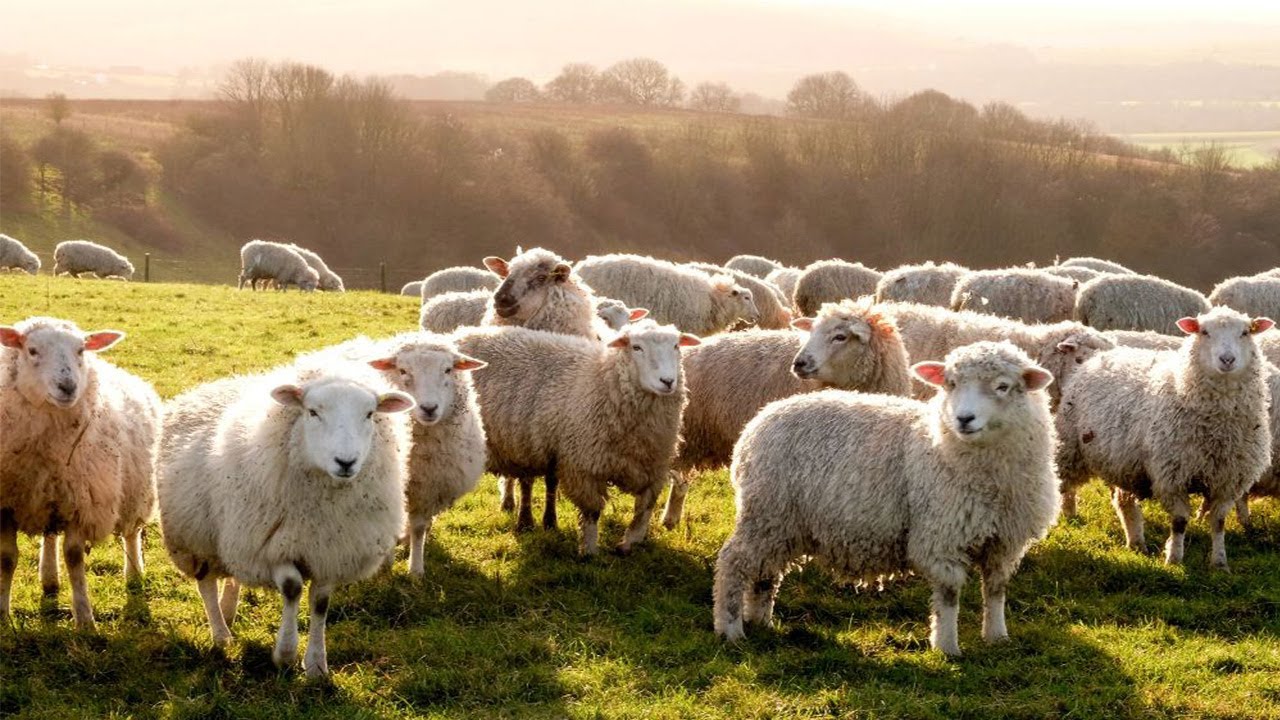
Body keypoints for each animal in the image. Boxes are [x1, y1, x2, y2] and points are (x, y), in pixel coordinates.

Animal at [0, 317, 161, 630]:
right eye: (32, 350)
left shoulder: (82, 503)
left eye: (81, 350)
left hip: (137, 490)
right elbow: (7, 559)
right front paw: (1, 614)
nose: (68, 386)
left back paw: (134, 574)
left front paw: (85, 619)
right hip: (51, 496)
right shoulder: (5, 506)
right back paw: (49, 580)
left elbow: (74, 557)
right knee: (50, 535)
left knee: (131, 533)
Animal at [156, 361, 413, 677]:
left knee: (232, 575)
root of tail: (207, 387)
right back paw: (221, 635)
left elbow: (320, 603)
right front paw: (285, 654)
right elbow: (292, 588)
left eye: (369, 413)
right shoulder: (273, 549)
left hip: (234, 537)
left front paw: (316, 665)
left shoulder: (330, 551)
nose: (346, 462)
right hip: (198, 539)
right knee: (206, 584)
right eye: (312, 412)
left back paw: (228, 611)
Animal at [455, 322, 700, 552]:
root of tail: (461, 334)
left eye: (676, 346)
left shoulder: (653, 466)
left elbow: (644, 510)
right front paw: (589, 550)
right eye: (636, 347)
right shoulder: (584, 465)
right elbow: (592, 512)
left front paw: (629, 544)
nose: (667, 381)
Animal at [714, 341, 1059, 656]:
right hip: (766, 511)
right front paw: (947, 648)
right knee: (733, 562)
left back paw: (761, 622)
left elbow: (996, 589)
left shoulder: (1005, 542)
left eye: (1003, 386)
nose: (964, 418)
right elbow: (949, 595)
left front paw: (998, 637)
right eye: (950, 384)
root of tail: (759, 421)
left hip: (783, 523)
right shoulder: (941, 536)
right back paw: (731, 629)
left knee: (765, 572)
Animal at [1055, 307, 1273, 569]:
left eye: (1245, 332)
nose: (1227, 360)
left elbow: (1218, 522)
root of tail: (1097, 358)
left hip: (1123, 462)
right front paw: (1174, 559)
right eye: (1204, 332)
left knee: (1124, 502)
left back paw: (1136, 543)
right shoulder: (1172, 475)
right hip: (1069, 448)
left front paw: (1220, 563)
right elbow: (1179, 521)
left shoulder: (1228, 479)